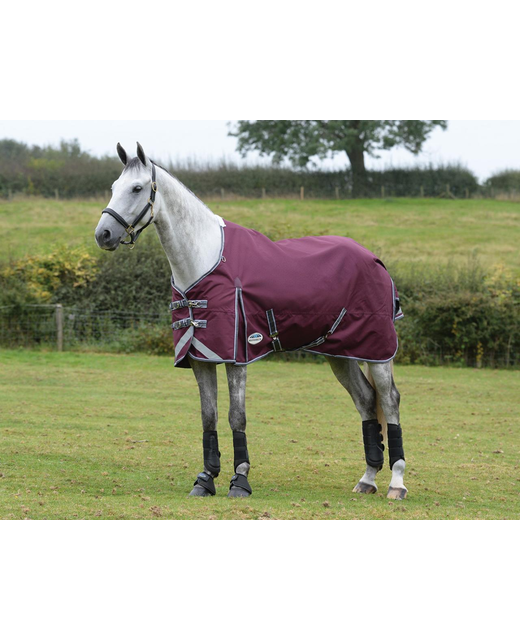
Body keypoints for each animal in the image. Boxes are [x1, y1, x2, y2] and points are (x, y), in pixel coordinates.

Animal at [95, 143, 407, 500]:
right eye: (113, 187)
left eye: (136, 188)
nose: (103, 234)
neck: (204, 259)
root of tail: (374, 260)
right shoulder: (200, 356)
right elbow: (208, 416)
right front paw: (205, 480)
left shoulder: (236, 355)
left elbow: (236, 416)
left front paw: (239, 481)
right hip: (340, 354)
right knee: (366, 401)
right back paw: (367, 479)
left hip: (378, 351)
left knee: (389, 401)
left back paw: (397, 483)